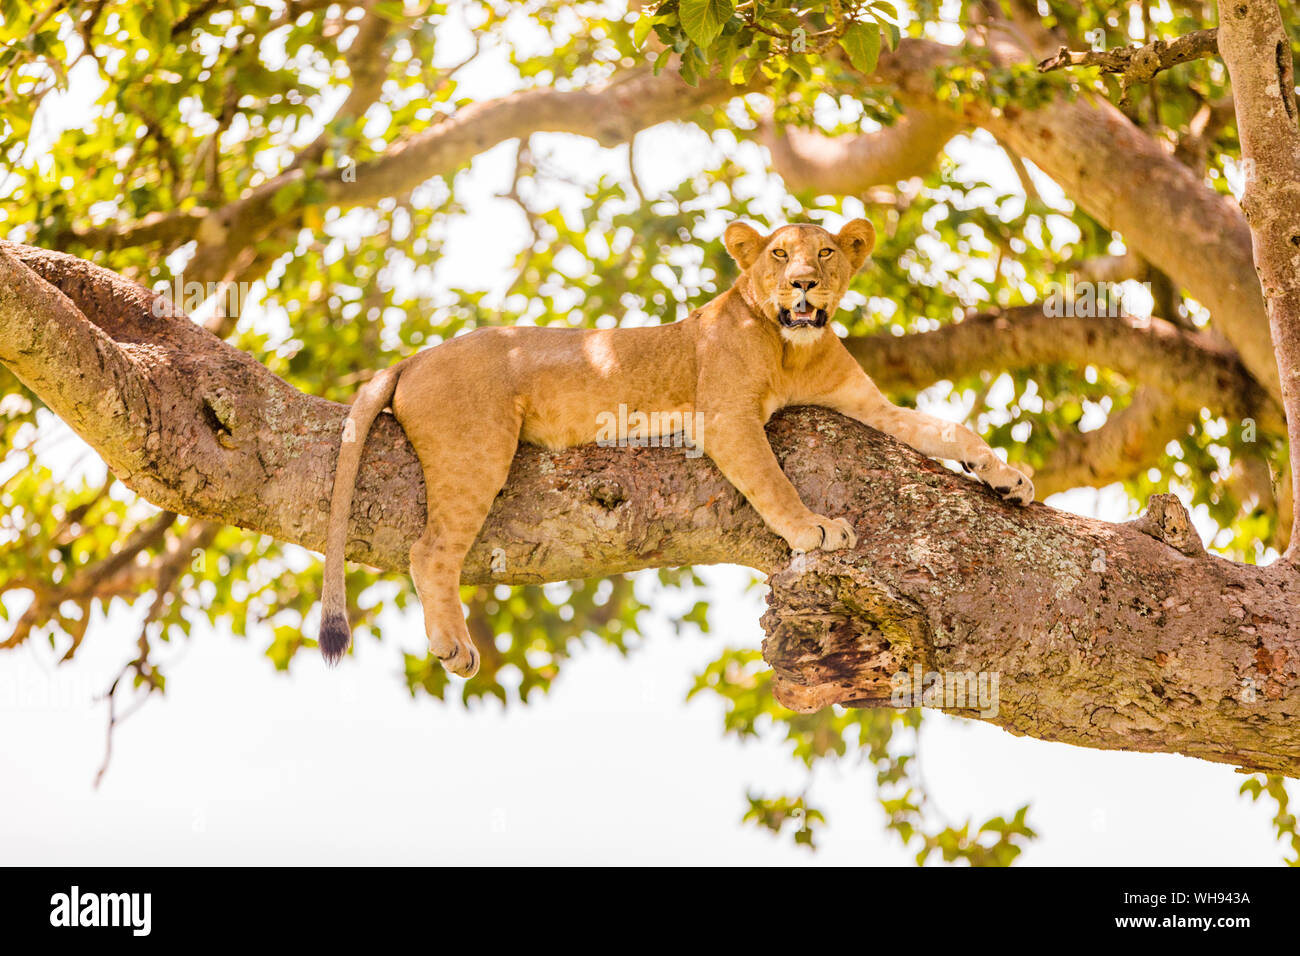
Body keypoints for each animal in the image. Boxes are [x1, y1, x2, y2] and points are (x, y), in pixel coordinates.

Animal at [318, 218, 1034, 677]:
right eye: (779, 255)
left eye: (828, 252)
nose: (804, 282)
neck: (793, 350)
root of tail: (414, 356)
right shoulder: (725, 418)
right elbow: (772, 479)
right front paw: (813, 527)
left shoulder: (866, 403)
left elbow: (950, 431)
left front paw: (1006, 476)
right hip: (478, 448)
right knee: (430, 550)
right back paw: (454, 645)